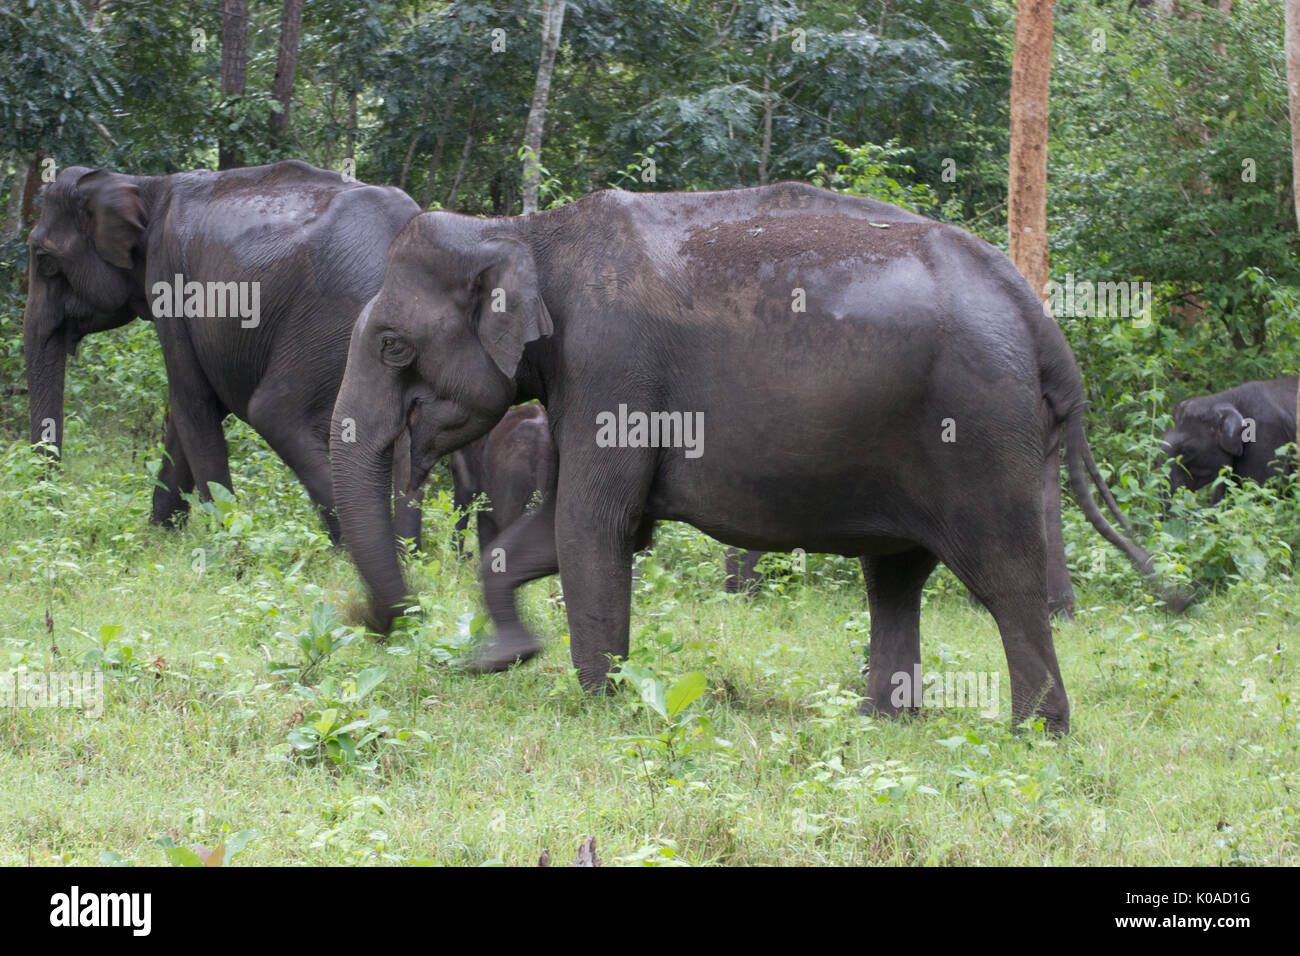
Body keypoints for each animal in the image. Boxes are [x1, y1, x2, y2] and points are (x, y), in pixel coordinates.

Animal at [23, 160, 423, 542]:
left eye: (44, 260)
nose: (55, 514)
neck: (142, 185)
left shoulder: (170, 281)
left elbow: (192, 402)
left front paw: (228, 541)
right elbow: (190, 413)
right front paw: (159, 536)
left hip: (332, 324)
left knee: (276, 414)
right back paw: (407, 553)